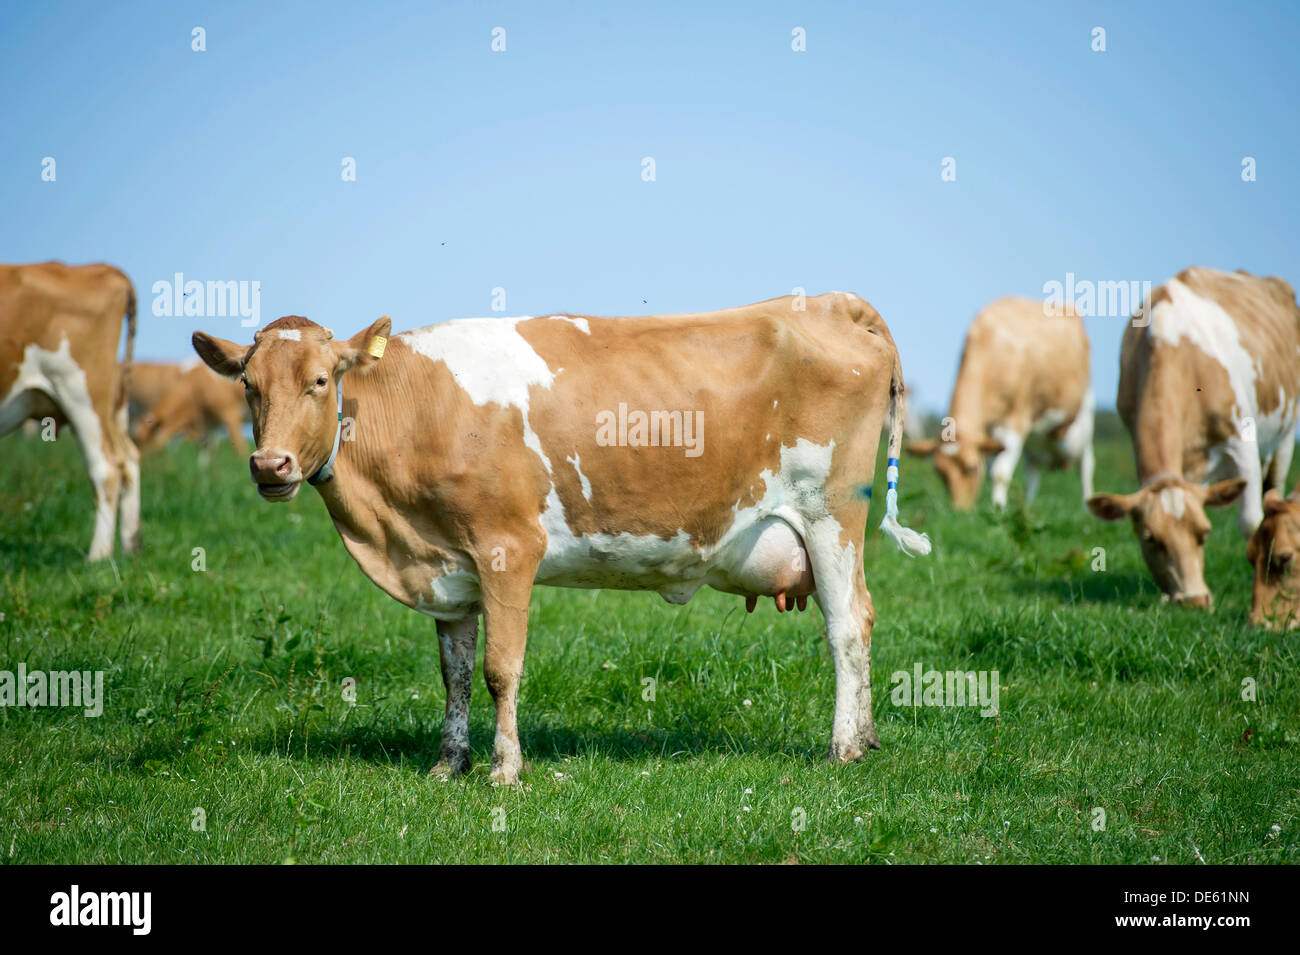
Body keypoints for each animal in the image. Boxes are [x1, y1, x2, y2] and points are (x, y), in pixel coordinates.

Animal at [0, 261, 141, 560]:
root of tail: (101, 268)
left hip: (80, 392)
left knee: (107, 467)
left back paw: (98, 556)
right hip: (108, 402)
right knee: (129, 458)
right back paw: (131, 547)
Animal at [192, 292, 931, 785]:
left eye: (320, 381)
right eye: (249, 386)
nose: (270, 465)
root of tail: (830, 301)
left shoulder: (507, 548)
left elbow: (501, 667)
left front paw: (505, 771)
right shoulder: (447, 569)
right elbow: (456, 672)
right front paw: (448, 764)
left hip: (831, 517)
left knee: (846, 625)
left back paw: (842, 748)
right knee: (860, 617)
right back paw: (866, 739)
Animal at [906, 297, 1095, 510]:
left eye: (971, 468)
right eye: (940, 473)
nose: (959, 510)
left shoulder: (1015, 421)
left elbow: (999, 473)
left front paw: (998, 509)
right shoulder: (989, 436)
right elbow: (992, 470)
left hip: (1083, 416)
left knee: (1086, 466)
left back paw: (1087, 507)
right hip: (1036, 441)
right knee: (1033, 471)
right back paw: (1027, 507)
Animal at [1088, 267, 1300, 608]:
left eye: (1205, 532)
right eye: (1151, 540)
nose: (1194, 600)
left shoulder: (1242, 444)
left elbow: (1251, 522)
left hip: (1283, 436)